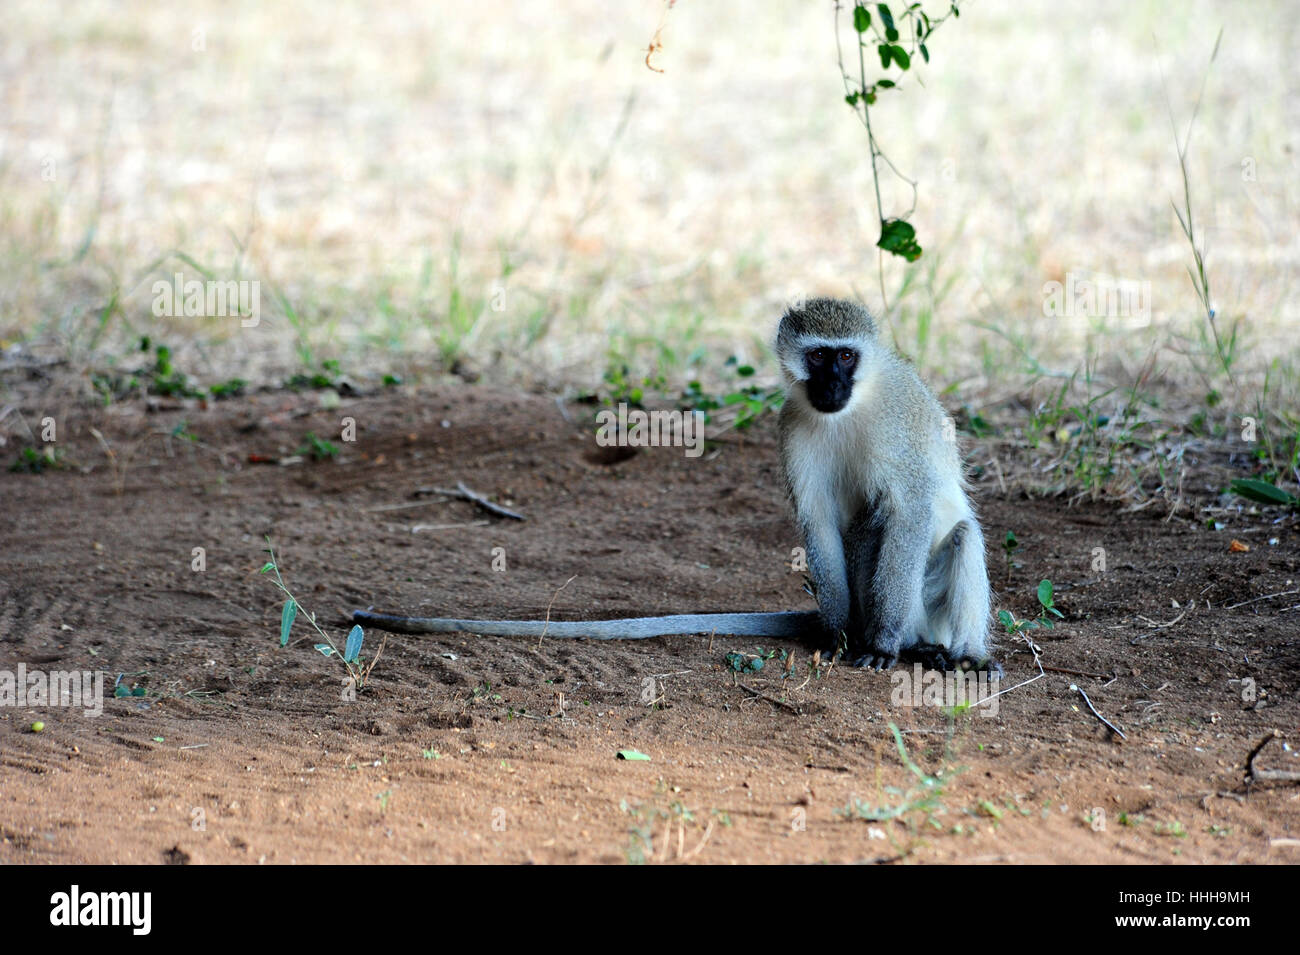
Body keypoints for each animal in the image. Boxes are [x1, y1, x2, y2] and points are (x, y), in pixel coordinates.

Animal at [353, 297, 993, 671]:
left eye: (846, 357)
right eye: (818, 358)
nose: (832, 386)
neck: (851, 410)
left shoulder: (896, 427)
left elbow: (910, 510)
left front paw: (879, 644)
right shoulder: (792, 426)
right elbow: (817, 522)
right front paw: (839, 635)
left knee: (947, 533)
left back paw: (947, 652)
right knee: (863, 526)